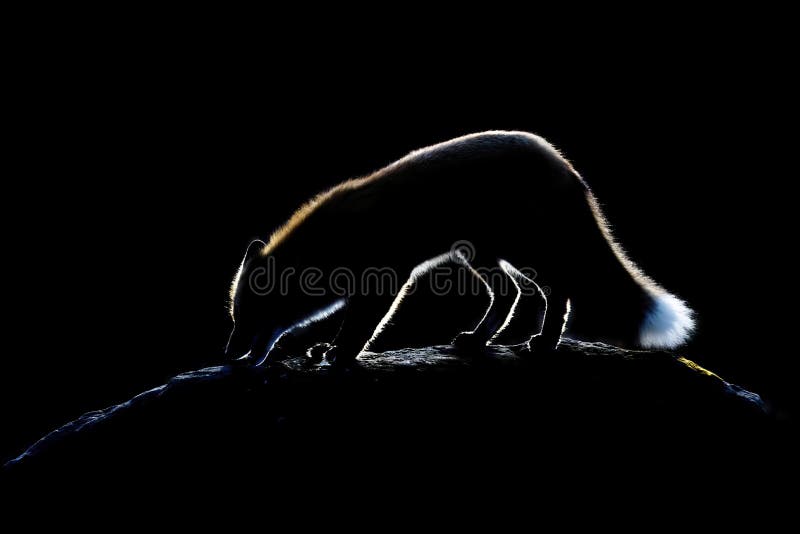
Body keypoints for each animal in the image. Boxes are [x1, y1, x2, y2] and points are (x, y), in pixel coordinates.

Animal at [226, 131, 695, 366]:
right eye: (235, 317)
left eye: (253, 314)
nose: (230, 354)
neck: (334, 238)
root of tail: (567, 167)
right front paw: (327, 349)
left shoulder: (388, 278)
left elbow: (361, 328)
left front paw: (338, 355)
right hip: (479, 254)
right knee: (511, 294)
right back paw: (480, 340)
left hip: (525, 250)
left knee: (557, 293)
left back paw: (544, 344)